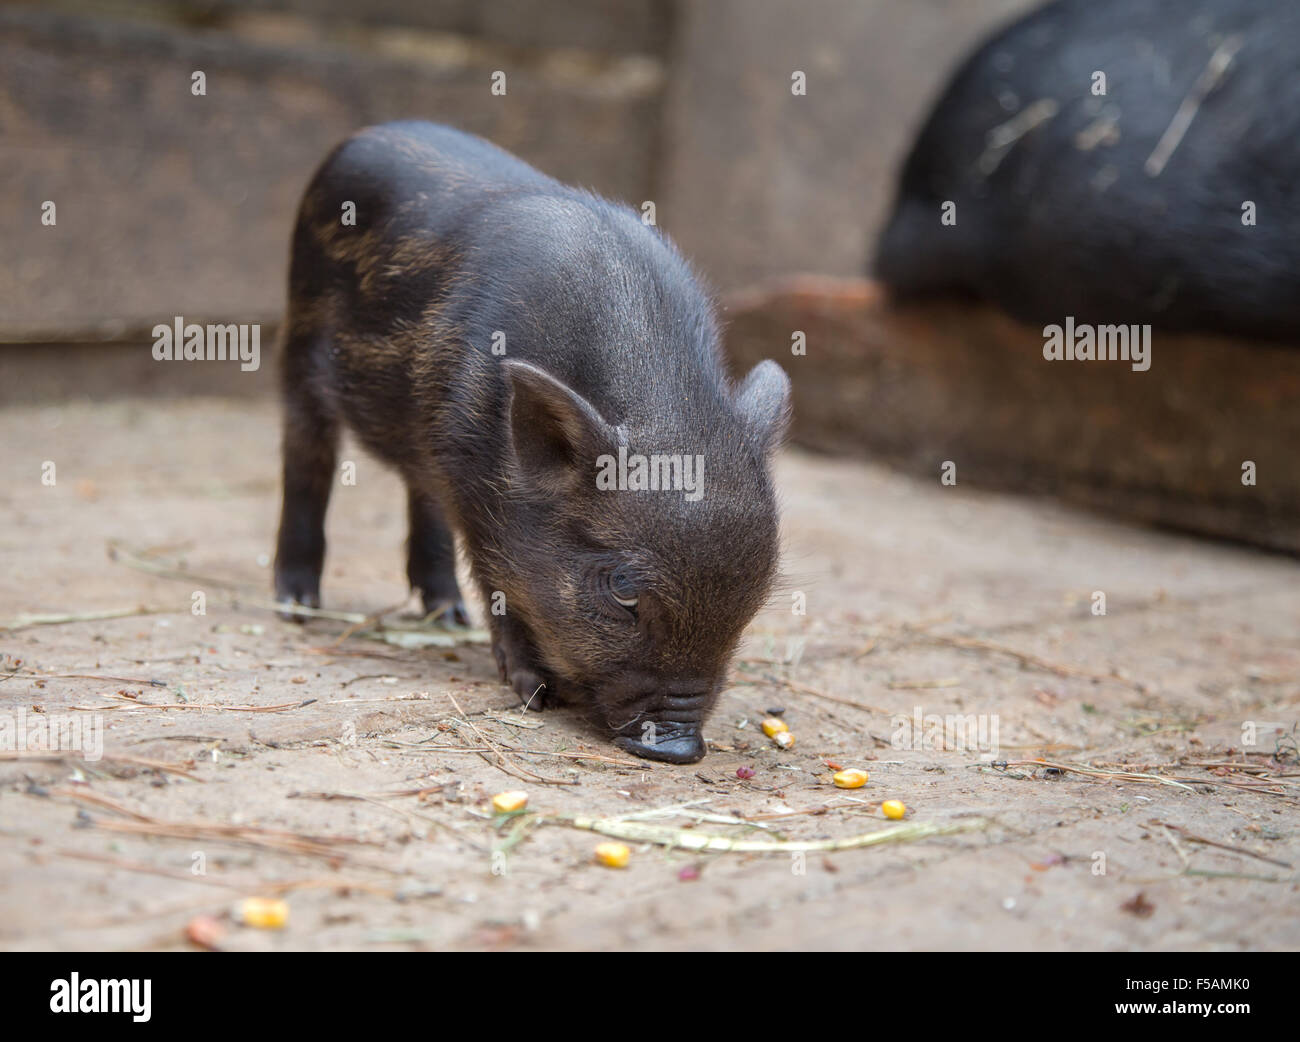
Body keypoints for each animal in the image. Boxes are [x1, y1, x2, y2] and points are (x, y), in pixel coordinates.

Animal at [273, 121, 791, 764]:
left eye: (756, 599)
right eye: (622, 588)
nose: (678, 748)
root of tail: (363, 136)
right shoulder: (474, 482)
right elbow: (502, 583)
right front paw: (534, 694)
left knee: (420, 496)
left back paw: (448, 619)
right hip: (299, 341)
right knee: (306, 462)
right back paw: (297, 604)